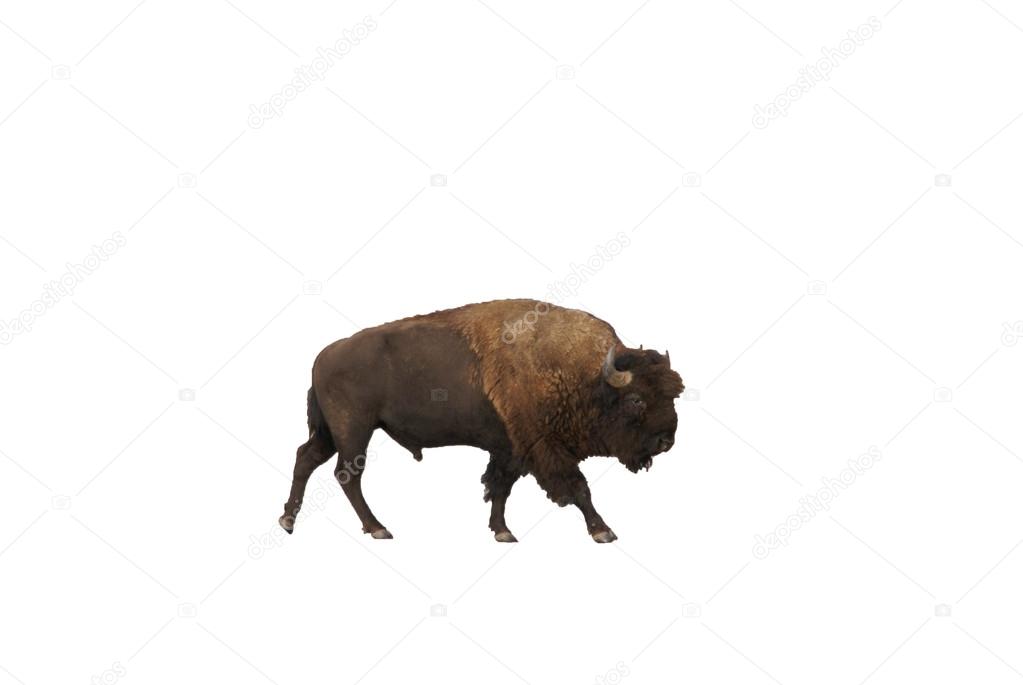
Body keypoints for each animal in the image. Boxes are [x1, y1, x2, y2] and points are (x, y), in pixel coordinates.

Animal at [280, 299, 684, 543]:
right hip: (354, 431)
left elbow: (499, 487)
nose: (666, 441)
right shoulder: (544, 447)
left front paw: (502, 531)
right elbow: (577, 488)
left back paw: (288, 521)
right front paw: (603, 531)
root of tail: (323, 355)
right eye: (636, 400)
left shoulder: (509, 447)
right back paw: (378, 528)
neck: (583, 373)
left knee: (306, 459)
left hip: (332, 432)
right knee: (347, 475)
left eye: (673, 396)